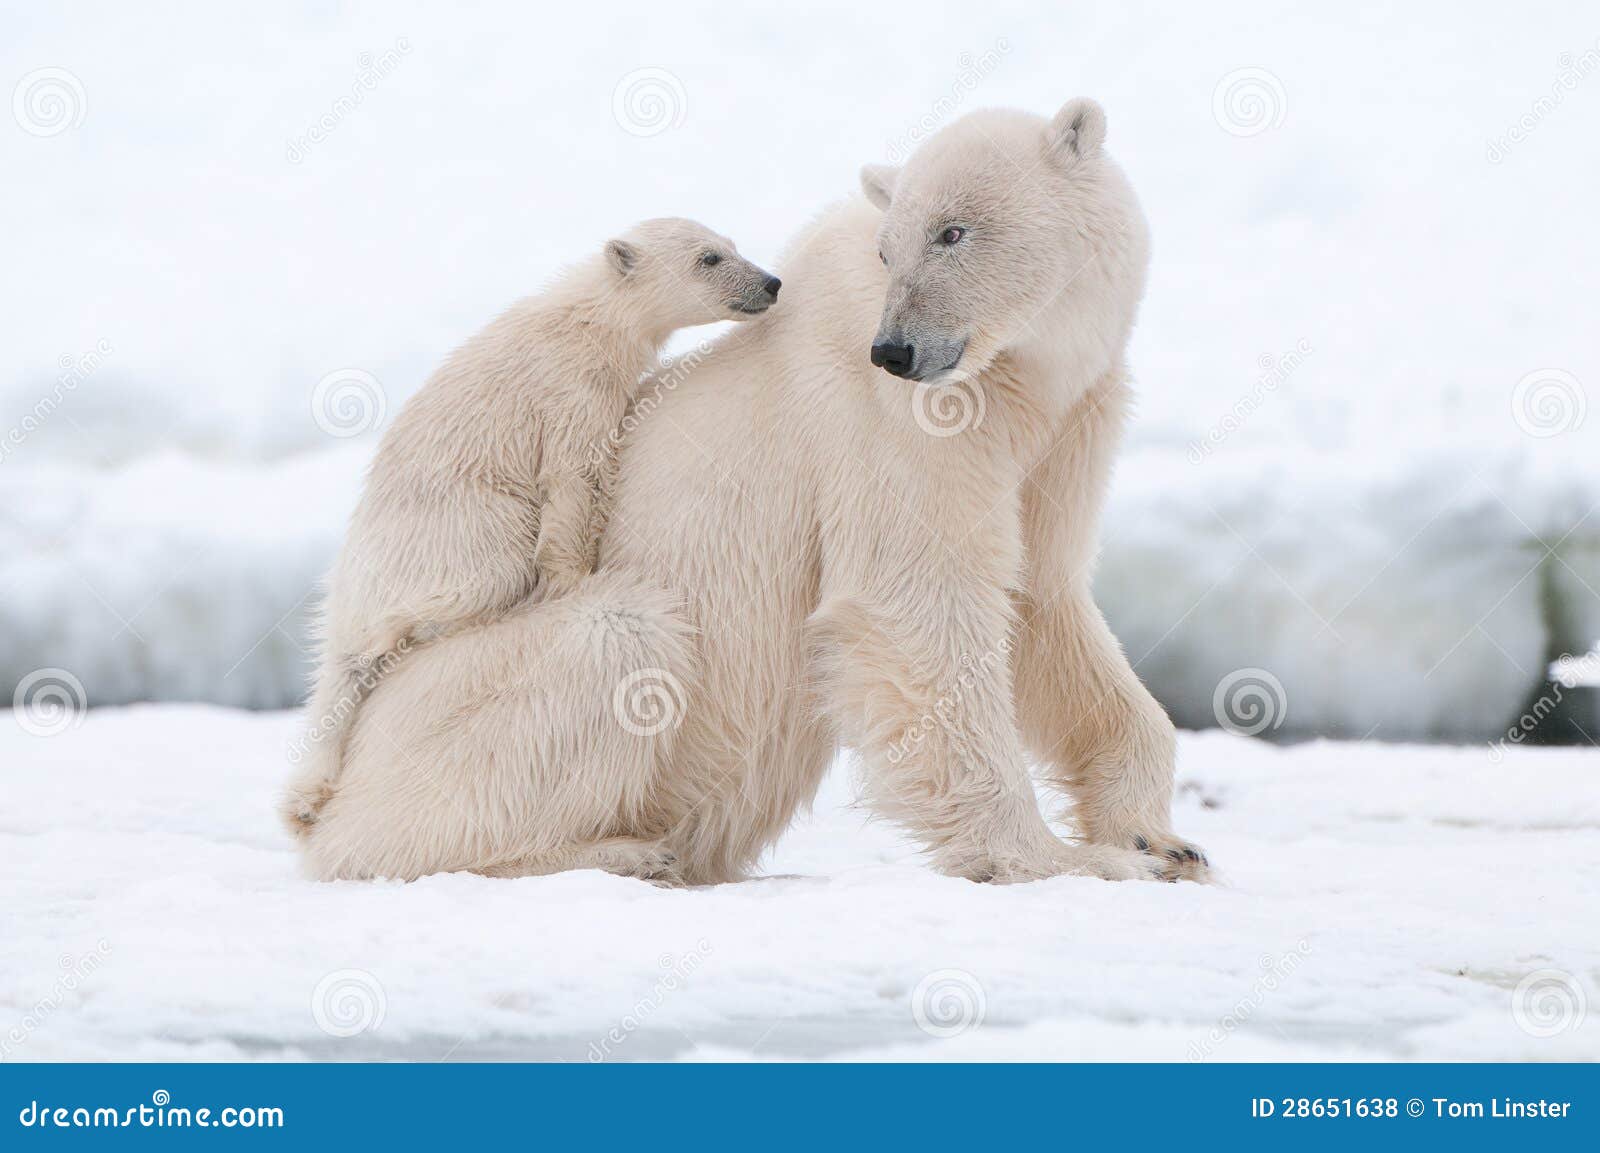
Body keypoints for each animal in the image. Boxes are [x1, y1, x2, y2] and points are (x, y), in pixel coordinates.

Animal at [279, 218, 781, 838]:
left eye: (733, 246)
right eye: (709, 258)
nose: (771, 282)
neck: (589, 318)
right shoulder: (570, 391)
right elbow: (572, 479)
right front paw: (574, 579)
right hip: (455, 529)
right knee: (472, 578)